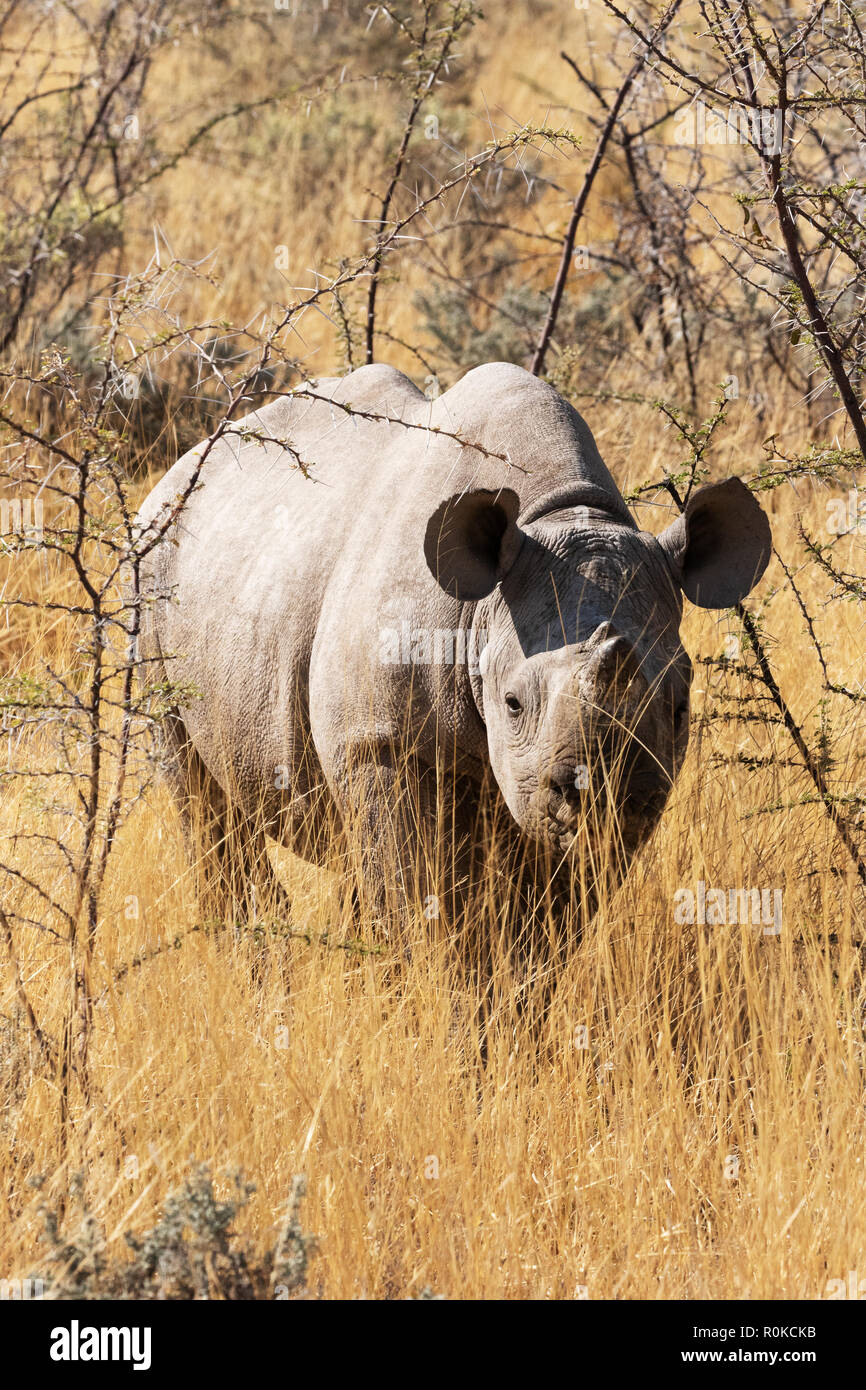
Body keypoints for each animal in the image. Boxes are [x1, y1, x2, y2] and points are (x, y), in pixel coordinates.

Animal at [136, 362, 771, 941]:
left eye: (681, 706)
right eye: (512, 703)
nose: (601, 798)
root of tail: (177, 470)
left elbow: (546, 922)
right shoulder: (382, 742)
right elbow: (419, 901)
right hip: (150, 572)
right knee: (202, 802)